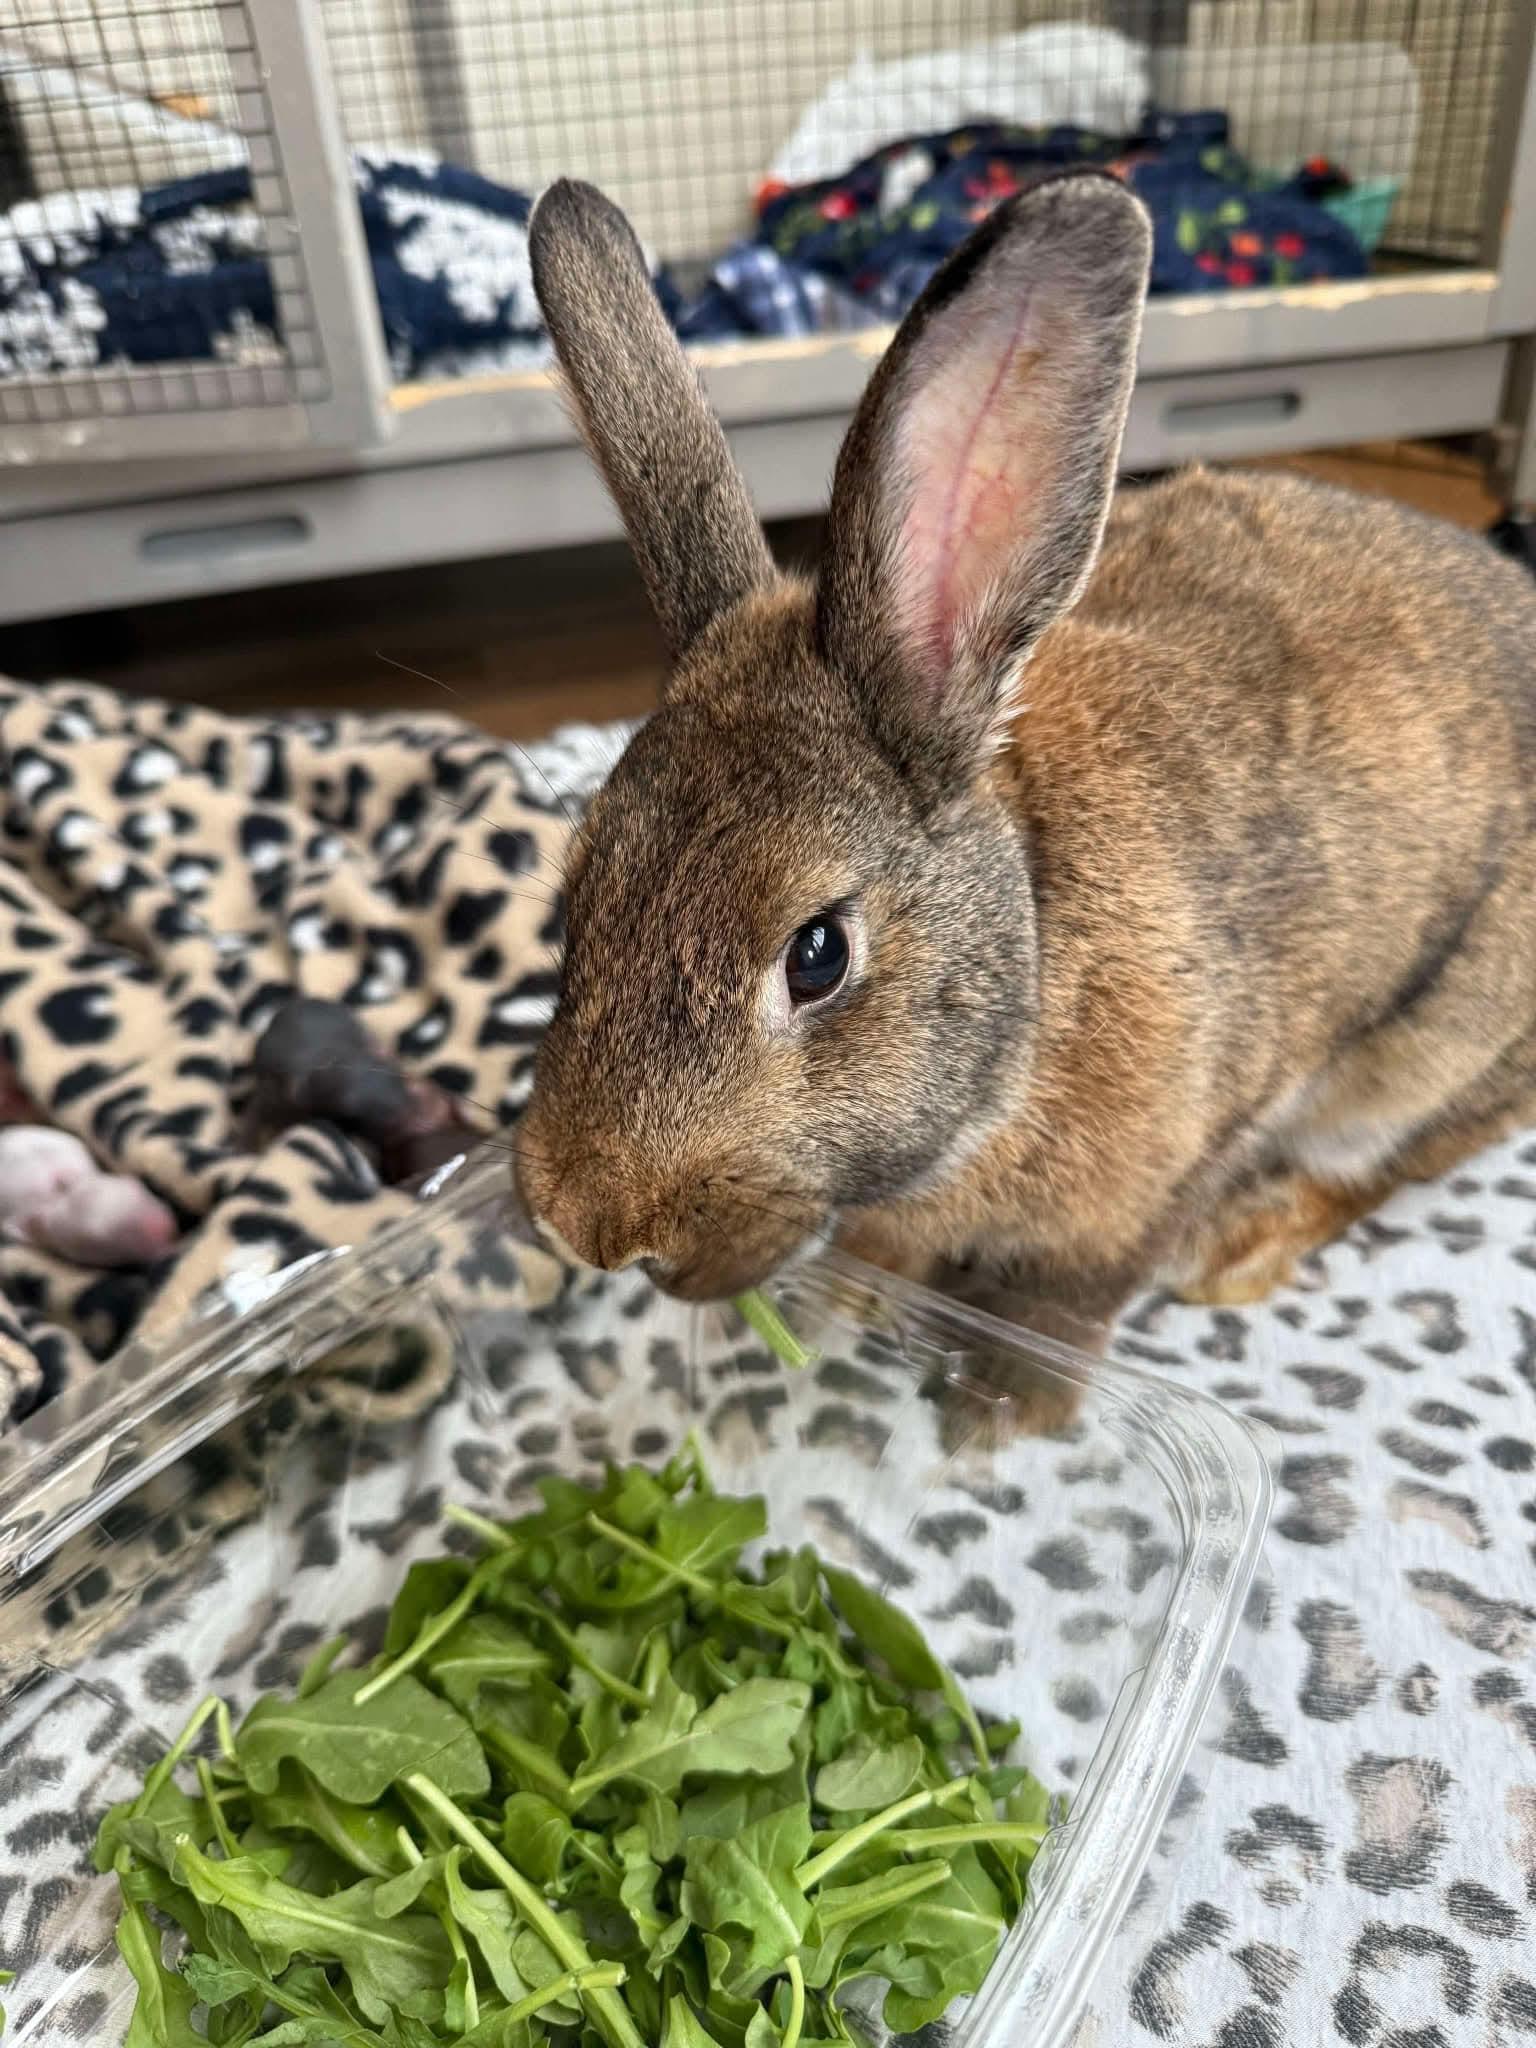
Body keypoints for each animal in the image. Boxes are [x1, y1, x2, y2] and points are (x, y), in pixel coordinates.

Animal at [513, 167, 1536, 1428]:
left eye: (817, 956)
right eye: (575, 901)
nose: (583, 1225)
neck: (1036, 973)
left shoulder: (1177, 1156)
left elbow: (1077, 1293)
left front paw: (1006, 1408)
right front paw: (855, 1302)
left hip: (1429, 1057)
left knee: (1383, 1166)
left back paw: (1235, 1252)